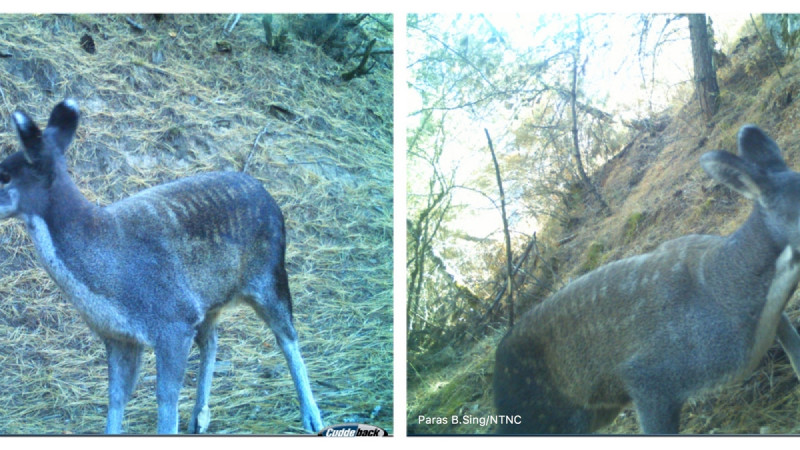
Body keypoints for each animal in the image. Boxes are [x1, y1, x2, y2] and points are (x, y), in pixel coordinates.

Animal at [0, 99, 324, 434]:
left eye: (4, 175)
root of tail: (268, 195)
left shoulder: (173, 320)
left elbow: (165, 400)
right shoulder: (119, 335)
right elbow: (116, 397)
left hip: (270, 274)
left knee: (287, 335)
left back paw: (312, 416)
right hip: (211, 300)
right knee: (212, 340)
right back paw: (200, 417)